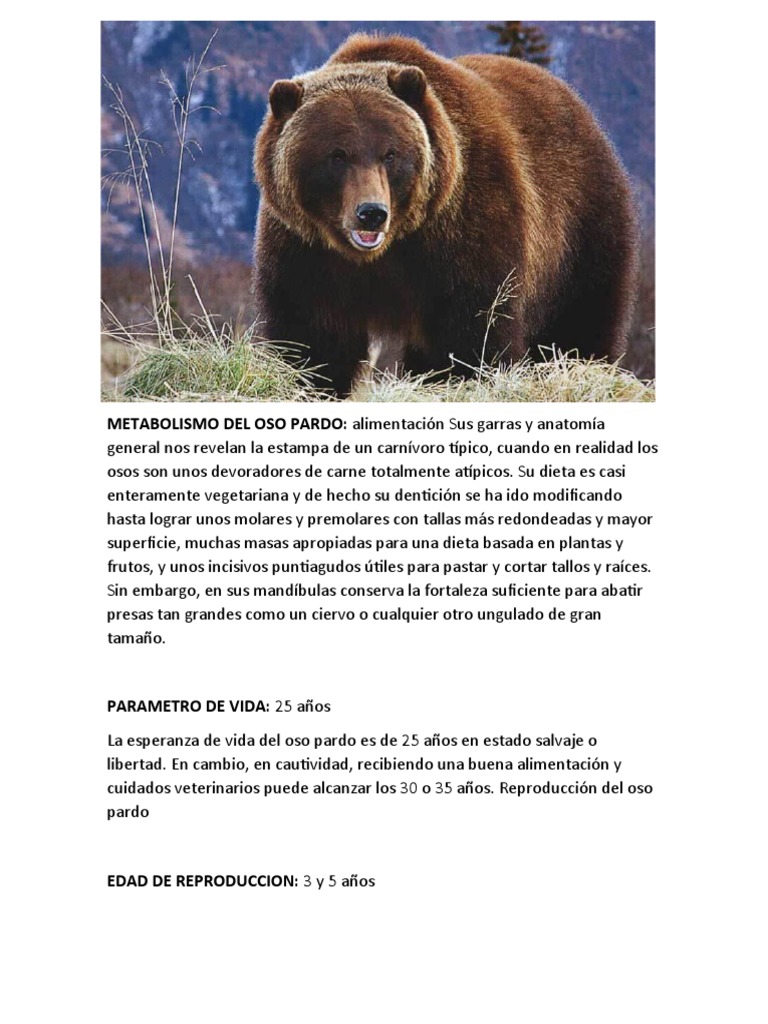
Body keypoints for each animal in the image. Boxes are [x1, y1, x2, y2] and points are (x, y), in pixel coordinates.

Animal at [253, 33, 638, 396]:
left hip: (581, 229)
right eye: (337, 154)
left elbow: (473, 335)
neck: (383, 253)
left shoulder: (464, 236)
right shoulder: (308, 254)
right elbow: (312, 340)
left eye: (390, 153)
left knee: (582, 321)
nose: (371, 213)